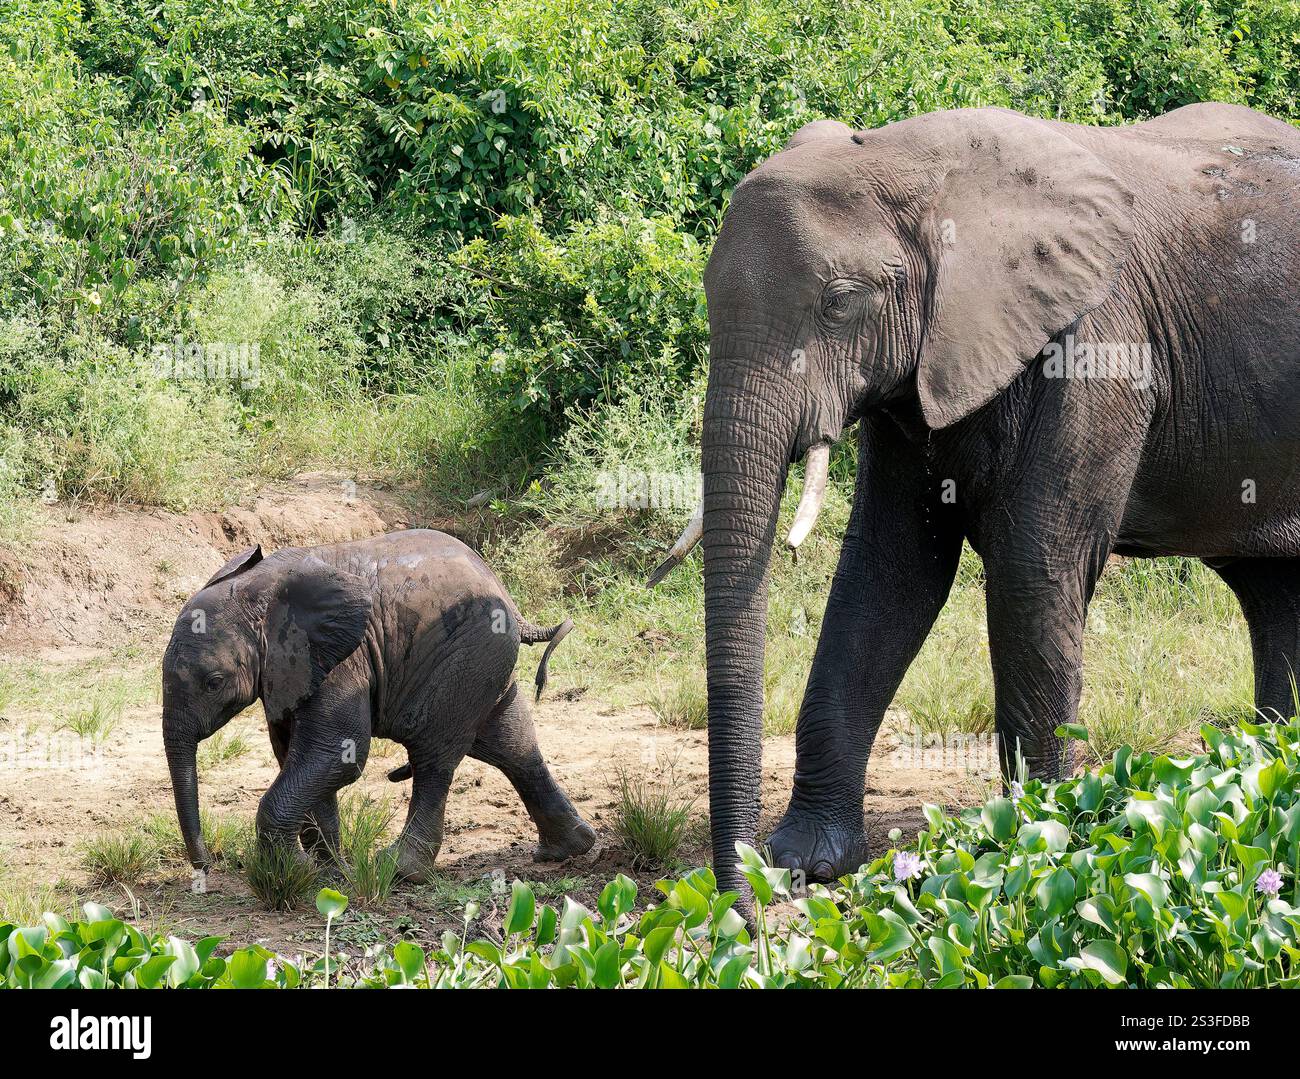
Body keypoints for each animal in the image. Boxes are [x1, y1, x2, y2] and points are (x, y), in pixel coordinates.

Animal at [162, 529, 596, 881]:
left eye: (214, 683)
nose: (205, 866)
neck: (260, 588)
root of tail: (513, 605)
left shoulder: (342, 660)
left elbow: (338, 753)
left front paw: (292, 872)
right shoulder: (292, 670)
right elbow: (299, 756)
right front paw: (329, 872)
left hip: (465, 657)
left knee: (434, 757)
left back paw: (402, 870)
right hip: (485, 662)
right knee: (512, 746)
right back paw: (566, 850)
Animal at [649, 102, 1300, 895]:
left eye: (840, 304)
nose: (739, 901)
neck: (915, 168)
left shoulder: (1099, 342)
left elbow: (1031, 569)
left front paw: (1041, 845)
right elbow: (888, 574)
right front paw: (804, 862)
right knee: (1270, 589)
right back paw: (1266, 769)